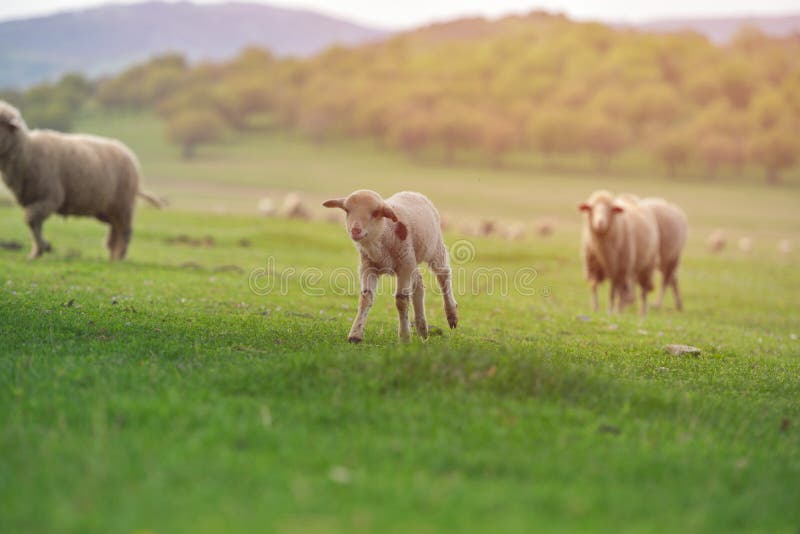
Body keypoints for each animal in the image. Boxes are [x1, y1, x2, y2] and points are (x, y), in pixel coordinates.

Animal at [0, 101, 161, 260]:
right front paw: (38, 250)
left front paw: (42, 248)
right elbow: (35, 224)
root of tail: (129, 154)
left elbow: (30, 220)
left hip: (124, 204)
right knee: (115, 229)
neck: (27, 152)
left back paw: (118, 257)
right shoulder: (36, 200)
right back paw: (112, 255)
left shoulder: (50, 198)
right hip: (108, 208)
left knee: (125, 230)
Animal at [323, 190, 458, 342]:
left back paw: (451, 314)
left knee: (443, 275)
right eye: (347, 210)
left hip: (433, 248)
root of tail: (412, 192)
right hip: (411, 258)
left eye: (376, 212)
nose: (355, 231)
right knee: (419, 283)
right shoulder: (368, 266)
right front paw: (355, 335)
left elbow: (401, 300)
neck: (384, 231)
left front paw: (404, 337)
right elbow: (365, 298)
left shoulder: (404, 266)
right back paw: (422, 328)